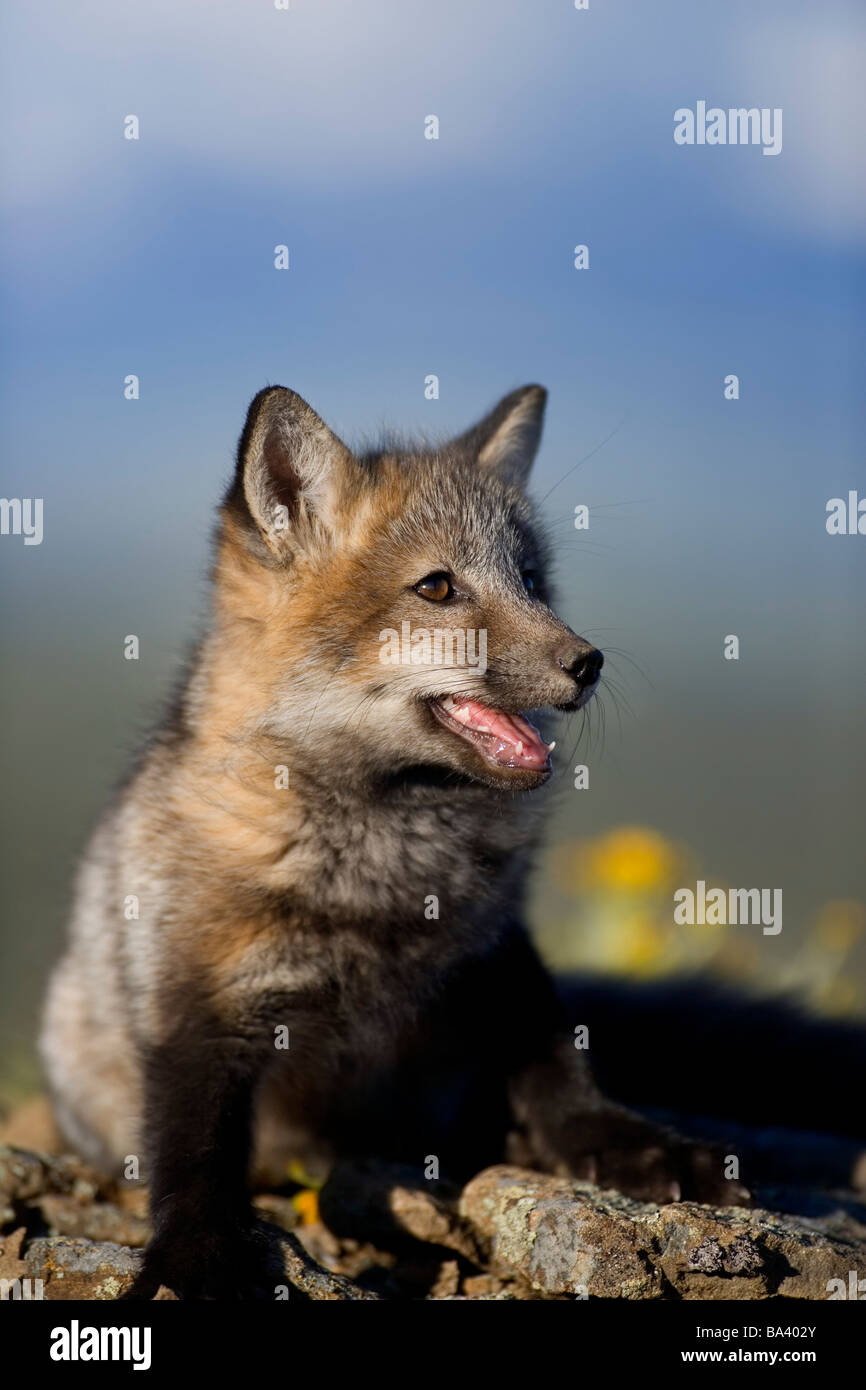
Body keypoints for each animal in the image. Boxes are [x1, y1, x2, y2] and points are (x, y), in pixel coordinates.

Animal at [40, 383, 748, 1300]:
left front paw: (626, 1146)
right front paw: (200, 1253)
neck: (387, 866)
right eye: (438, 586)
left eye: (530, 580)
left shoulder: (496, 953)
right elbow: (191, 1150)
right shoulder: (202, 998)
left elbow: (561, 1068)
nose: (588, 662)